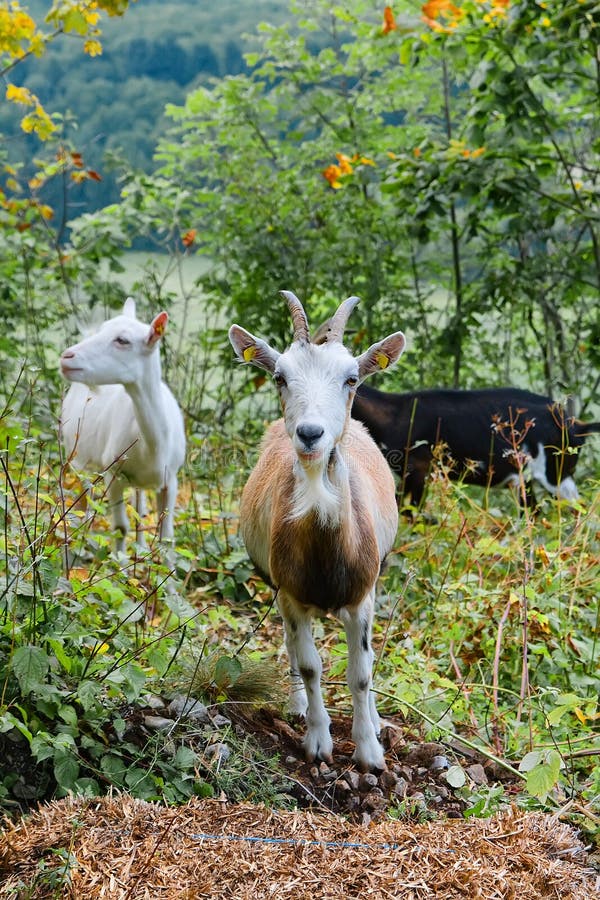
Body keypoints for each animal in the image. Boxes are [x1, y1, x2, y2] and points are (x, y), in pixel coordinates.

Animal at [59, 297, 186, 561]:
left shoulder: (171, 479)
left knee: (140, 506)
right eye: (104, 328)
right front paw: (119, 564)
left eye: (122, 340)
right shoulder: (114, 472)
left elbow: (167, 539)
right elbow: (120, 527)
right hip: (76, 453)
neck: (154, 448)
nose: (67, 356)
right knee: (83, 499)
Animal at [229, 291, 406, 771]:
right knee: (291, 647)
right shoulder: (290, 593)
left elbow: (361, 671)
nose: (311, 434)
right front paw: (318, 742)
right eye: (280, 377)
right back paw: (298, 706)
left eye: (351, 379)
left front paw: (369, 750)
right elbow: (309, 663)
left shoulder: (363, 595)